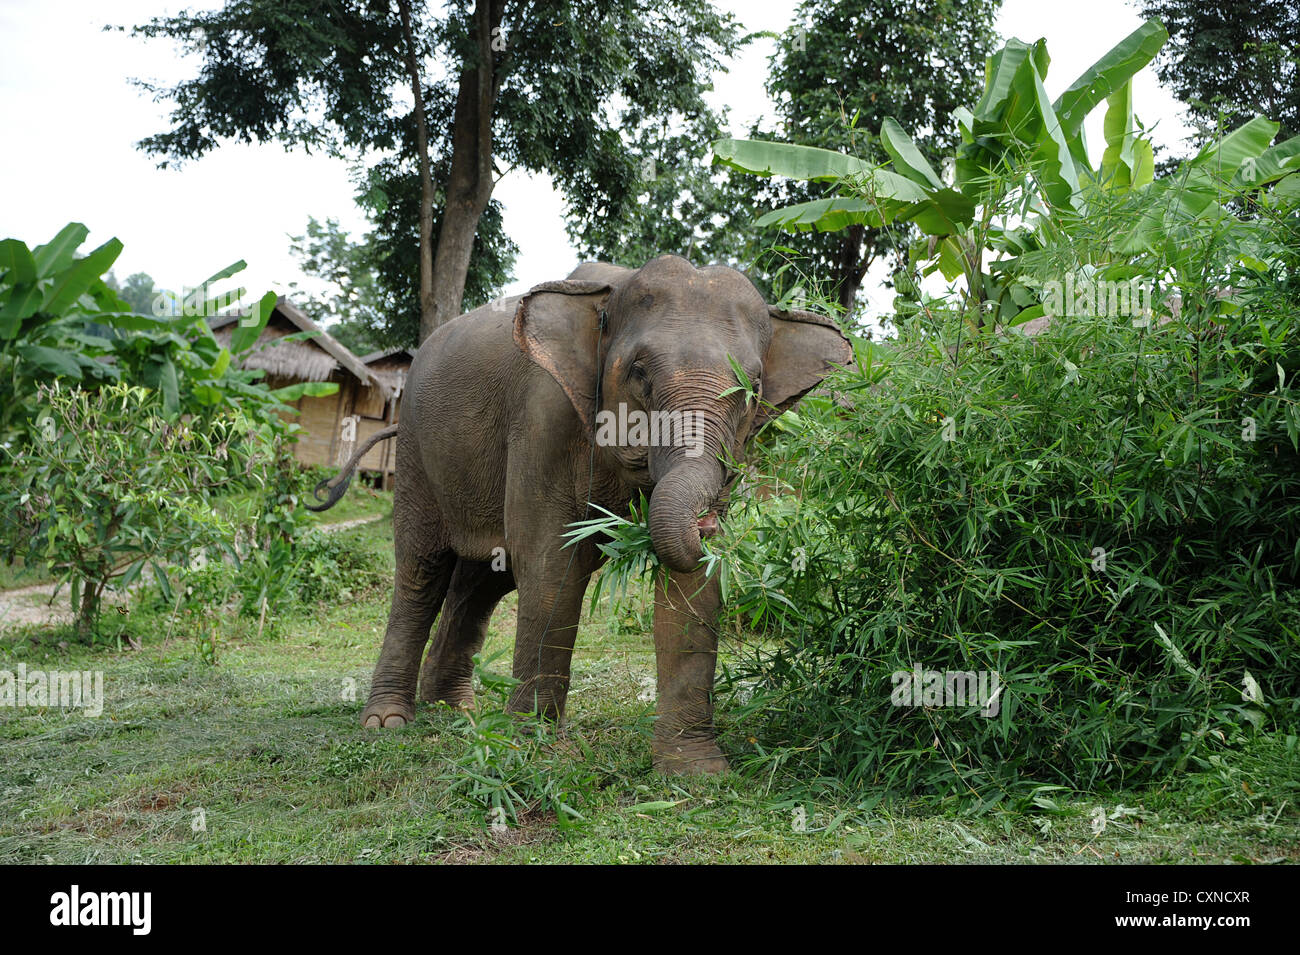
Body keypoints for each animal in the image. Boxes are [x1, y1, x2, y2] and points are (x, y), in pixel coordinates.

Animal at [312, 254, 852, 774]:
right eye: (640, 373)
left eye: (753, 388)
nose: (710, 521)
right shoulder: (543, 418)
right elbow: (552, 566)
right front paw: (534, 749)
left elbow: (693, 586)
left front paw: (698, 773)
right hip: (418, 451)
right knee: (422, 570)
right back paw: (388, 721)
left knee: (485, 579)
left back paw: (454, 709)